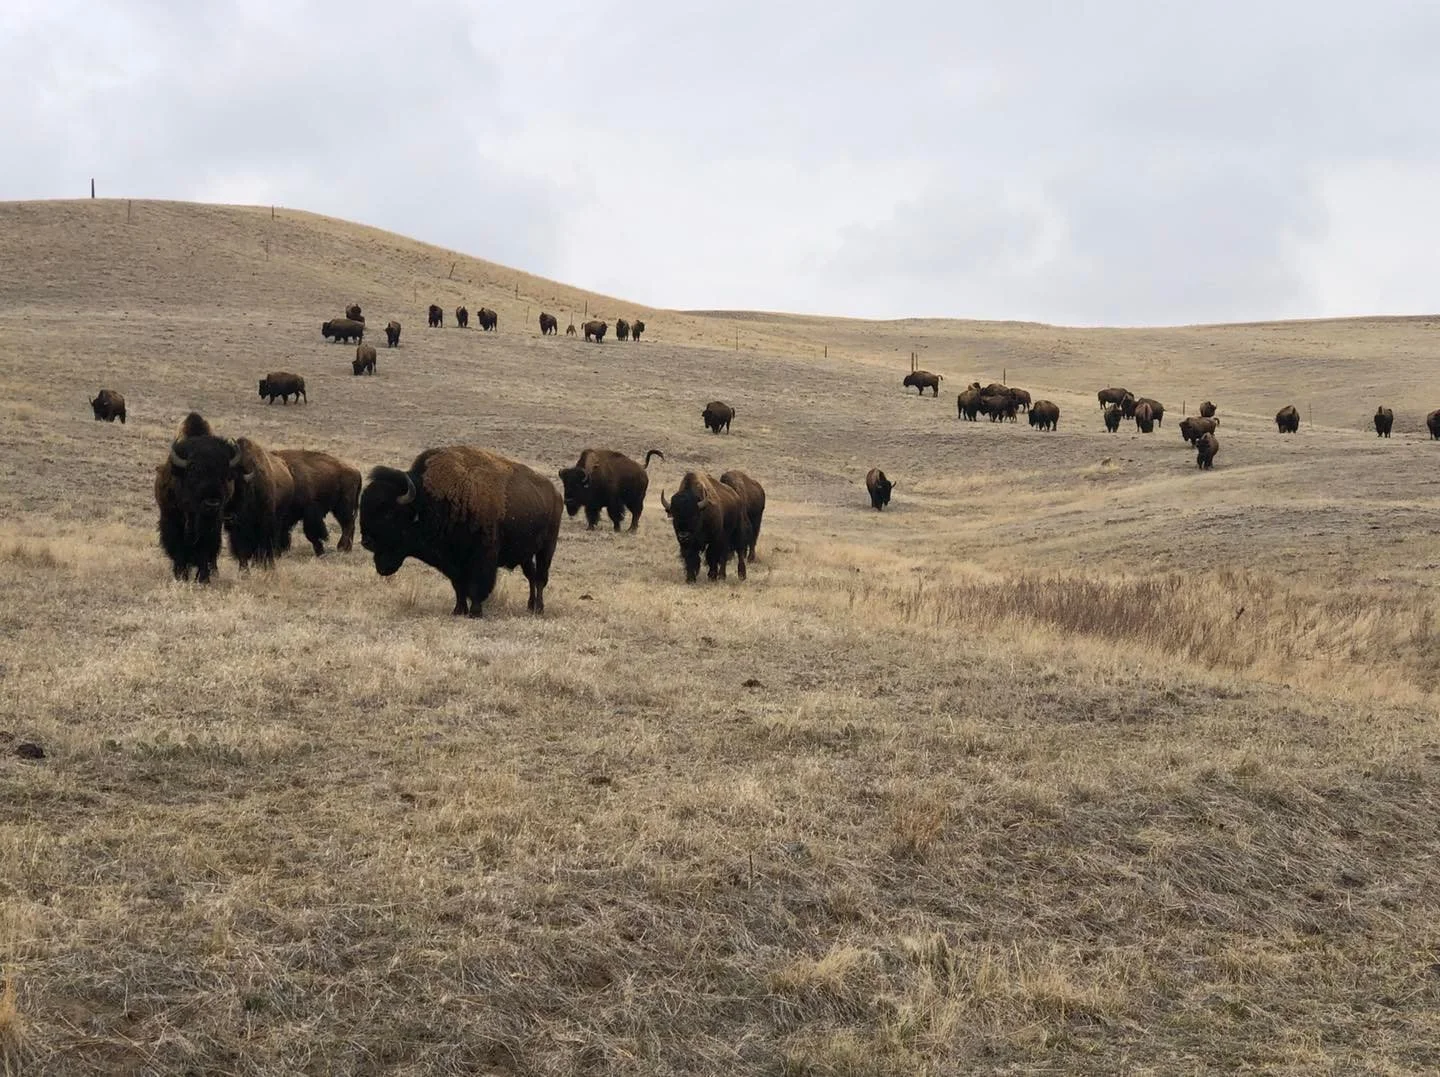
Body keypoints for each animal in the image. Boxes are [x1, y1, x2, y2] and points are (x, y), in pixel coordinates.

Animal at [153, 412, 242, 583]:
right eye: (194, 471)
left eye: (225, 473)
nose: (212, 503)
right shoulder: (172, 521)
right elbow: (178, 549)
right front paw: (180, 576)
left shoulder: (213, 524)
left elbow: (205, 550)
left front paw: (203, 579)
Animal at [360, 446, 562, 617]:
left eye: (388, 513)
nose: (366, 541)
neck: (429, 502)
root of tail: (555, 494)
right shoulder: (453, 562)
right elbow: (459, 586)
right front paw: (458, 610)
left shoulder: (482, 557)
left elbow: (477, 586)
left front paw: (475, 612)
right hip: (525, 555)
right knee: (531, 576)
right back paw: (530, 606)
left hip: (547, 548)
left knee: (540, 578)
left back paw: (539, 609)